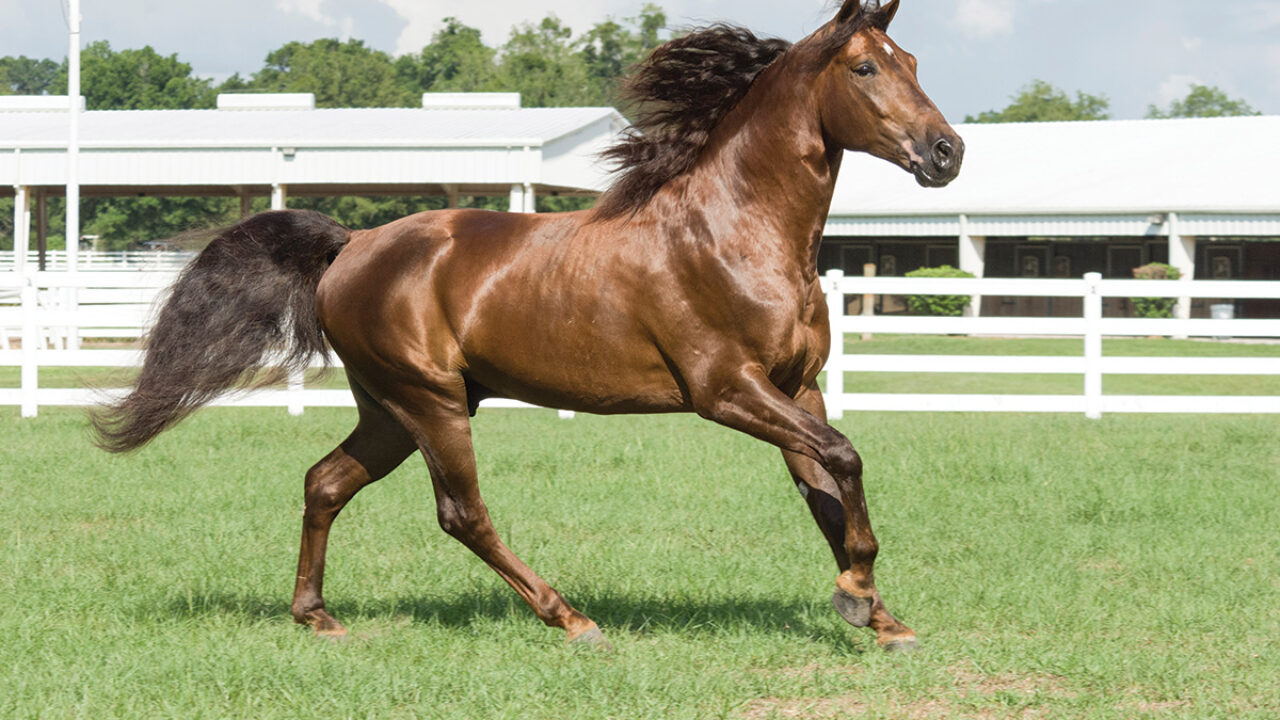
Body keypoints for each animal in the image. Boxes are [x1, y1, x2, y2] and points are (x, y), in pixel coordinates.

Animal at [93, 0, 962, 652]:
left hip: (393, 410)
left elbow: (828, 493)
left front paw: (877, 615)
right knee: (461, 513)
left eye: (916, 63)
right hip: (431, 402)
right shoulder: (727, 390)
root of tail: (353, 244)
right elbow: (845, 460)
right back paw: (571, 618)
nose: (947, 151)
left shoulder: (797, 389)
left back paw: (318, 617)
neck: (734, 231)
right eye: (865, 67)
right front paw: (860, 597)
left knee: (326, 482)